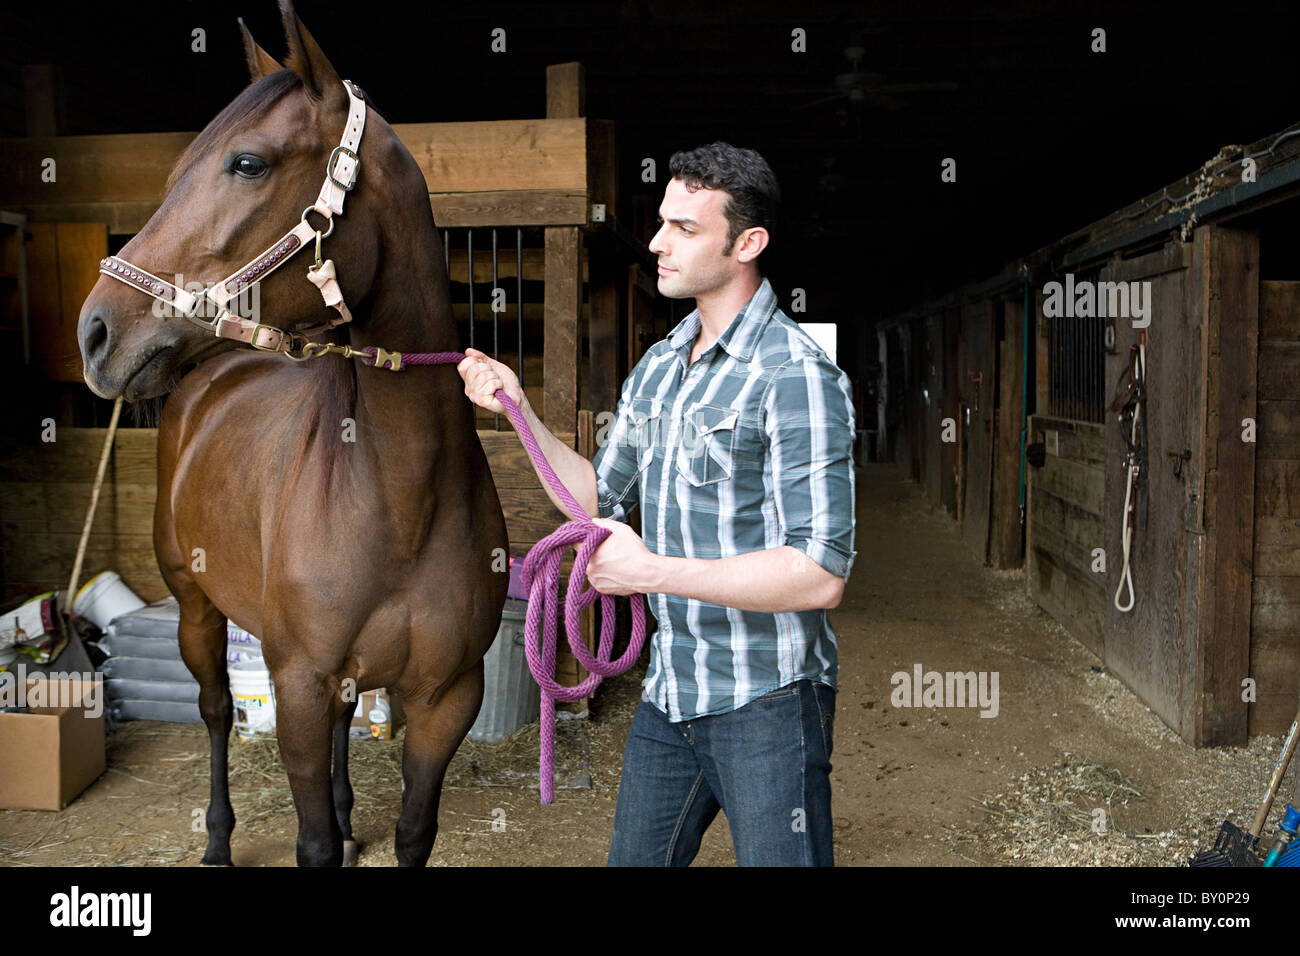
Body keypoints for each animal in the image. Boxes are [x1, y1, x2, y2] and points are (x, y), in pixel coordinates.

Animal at [76, 0, 509, 866]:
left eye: (247, 163)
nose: (96, 332)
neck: (402, 497)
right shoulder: (298, 686)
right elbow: (310, 843)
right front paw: (316, 832)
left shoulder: (446, 699)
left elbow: (413, 831)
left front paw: (351, 823)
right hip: (197, 608)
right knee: (214, 712)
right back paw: (217, 840)